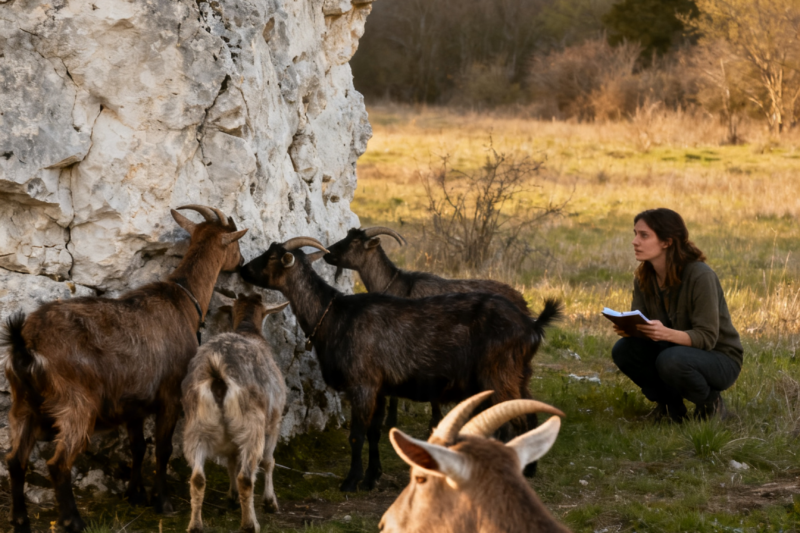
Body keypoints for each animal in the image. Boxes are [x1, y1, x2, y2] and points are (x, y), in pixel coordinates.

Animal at [1, 205, 247, 533]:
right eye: (235, 243)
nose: (242, 264)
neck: (183, 303)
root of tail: (26, 344)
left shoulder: (133, 403)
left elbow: (137, 446)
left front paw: (135, 495)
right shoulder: (171, 395)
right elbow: (162, 449)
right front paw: (163, 502)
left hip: (23, 404)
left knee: (15, 460)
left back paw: (19, 519)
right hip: (76, 404)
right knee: (59, 463)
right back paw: (72, 519)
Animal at [182, 293, 288, 533]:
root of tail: (217, 368)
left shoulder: (230, 437)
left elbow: (231, 461)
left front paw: (231, 498)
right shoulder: (274, 422)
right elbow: (269, 461)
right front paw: (271, 503)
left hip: (196, 427)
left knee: (197, 478)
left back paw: (195, 525)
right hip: (252, 426)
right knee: (246, 477)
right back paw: (250, 524)